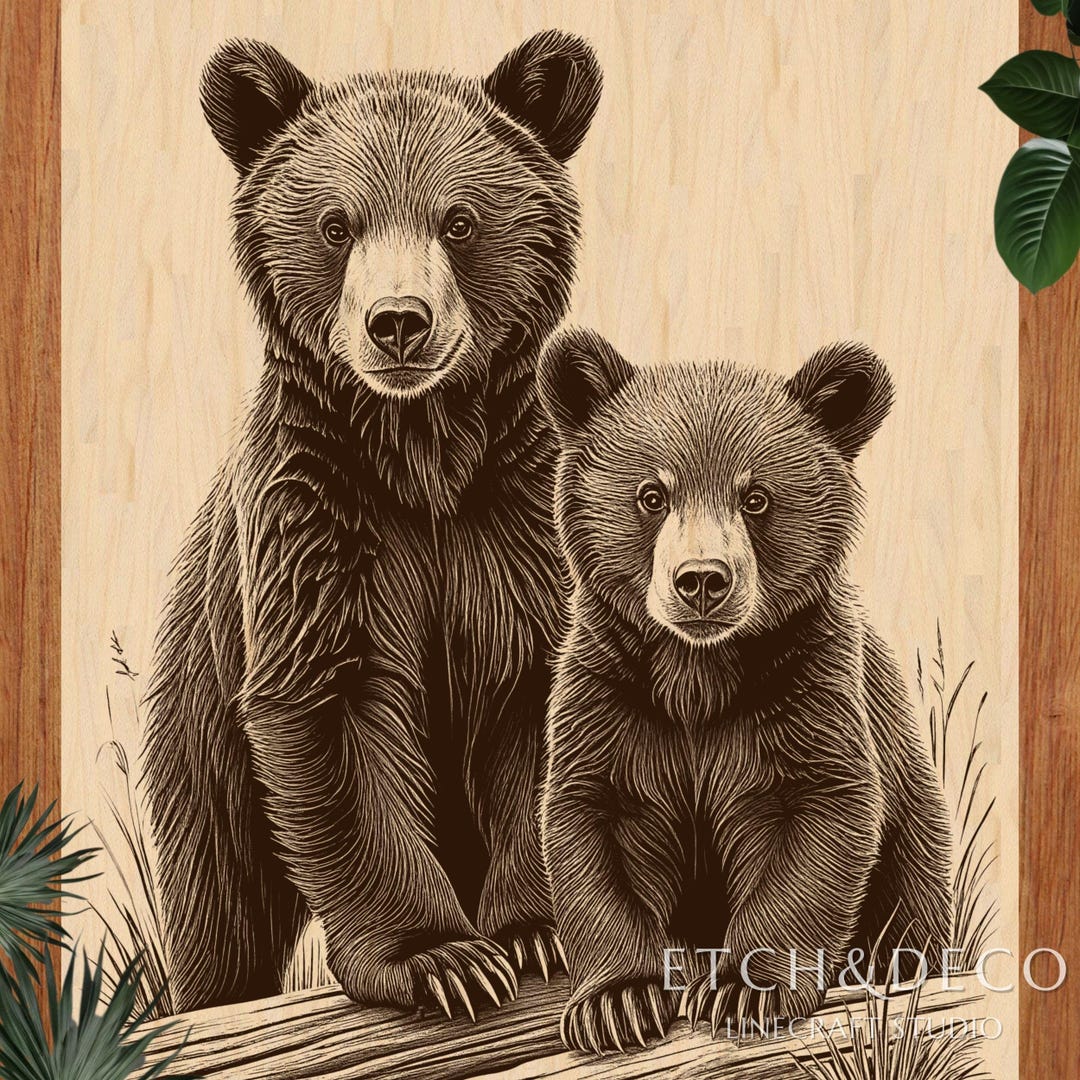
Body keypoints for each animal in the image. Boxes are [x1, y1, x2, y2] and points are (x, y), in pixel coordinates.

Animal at [142, 33, 602, 1016]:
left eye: (458, 221)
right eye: (335, 225)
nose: (398, 323)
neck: (423, 456)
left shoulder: (517, 520)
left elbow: (542, 704)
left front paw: (537, 931)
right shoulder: (317, 512)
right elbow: (335, 709)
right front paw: (442, 959)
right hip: (201, 724)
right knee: (219, 899)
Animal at [535, 328, 953, 1054]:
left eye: (755, 497)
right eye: (652, 494)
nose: (702, 580)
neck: (699, 673)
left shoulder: (805, 689)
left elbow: (818, 821)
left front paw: (744, 991)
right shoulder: (613, 694)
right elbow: (599, 825)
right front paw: (616, 1003)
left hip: (915, 820)